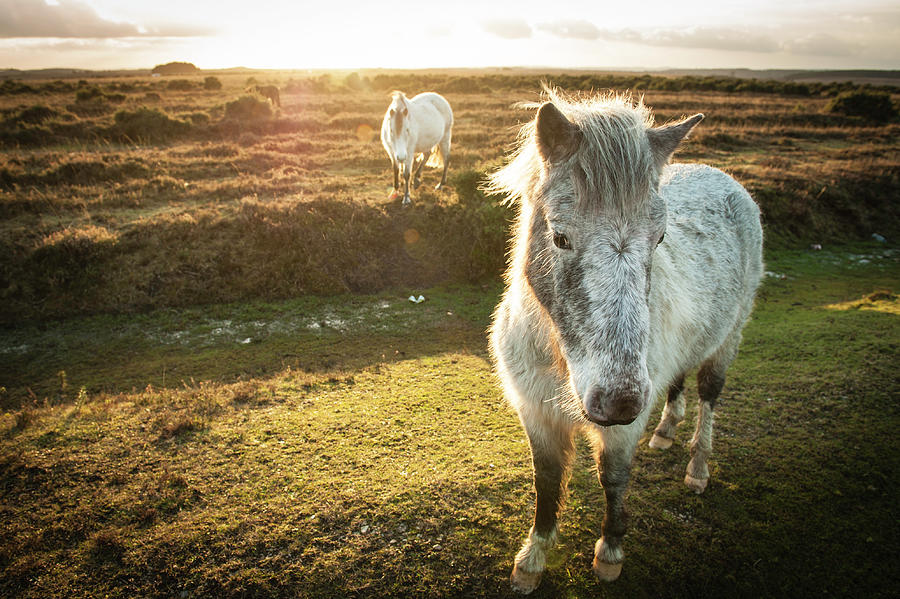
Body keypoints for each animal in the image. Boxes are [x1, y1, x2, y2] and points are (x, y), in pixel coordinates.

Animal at [488, 88, 763, 594]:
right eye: (560, 236)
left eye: (660, 237)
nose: (618, 401)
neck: (557, 359)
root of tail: (724, 178)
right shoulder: (536, 412)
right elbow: (547, 481)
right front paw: (532, 560)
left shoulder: (621, 430)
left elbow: (613, 479)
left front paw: (609, 553)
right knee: (677, 383)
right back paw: (666, 432)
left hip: (727, 341)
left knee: (708, 396)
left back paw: (698, 469)